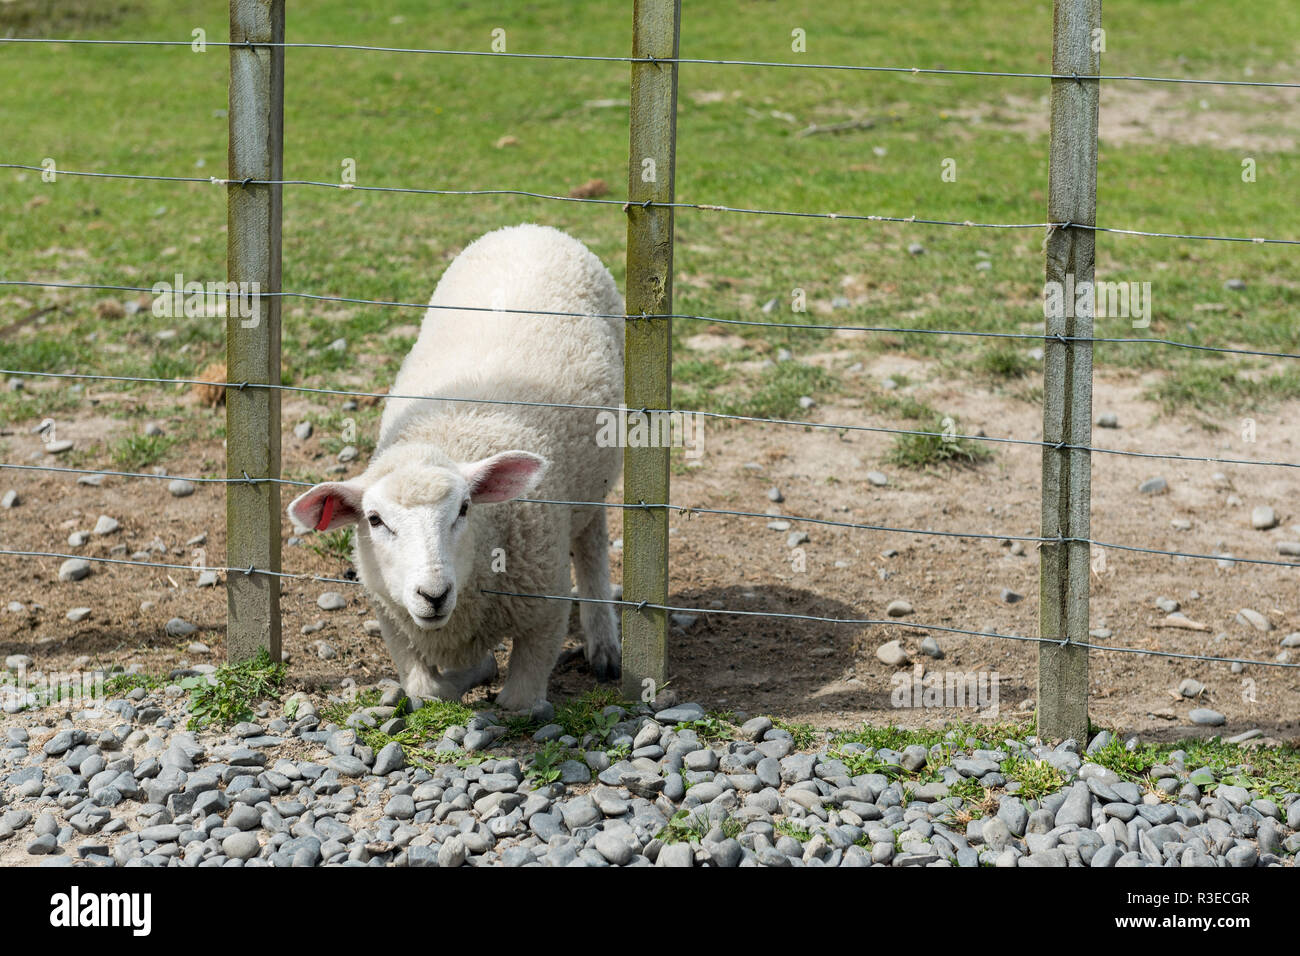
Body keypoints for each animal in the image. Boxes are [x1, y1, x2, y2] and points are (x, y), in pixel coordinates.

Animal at [287, 224, 623, 712]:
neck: (444, 435)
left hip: (593, 480)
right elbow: (426, 692)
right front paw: (474, 671)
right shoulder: (390, 612)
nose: (433, 595)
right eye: (374, 520)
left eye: (465, 508)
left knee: (592, 542)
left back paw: (603, 643)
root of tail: (529, 227)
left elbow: (518, 702)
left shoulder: (545, 607)